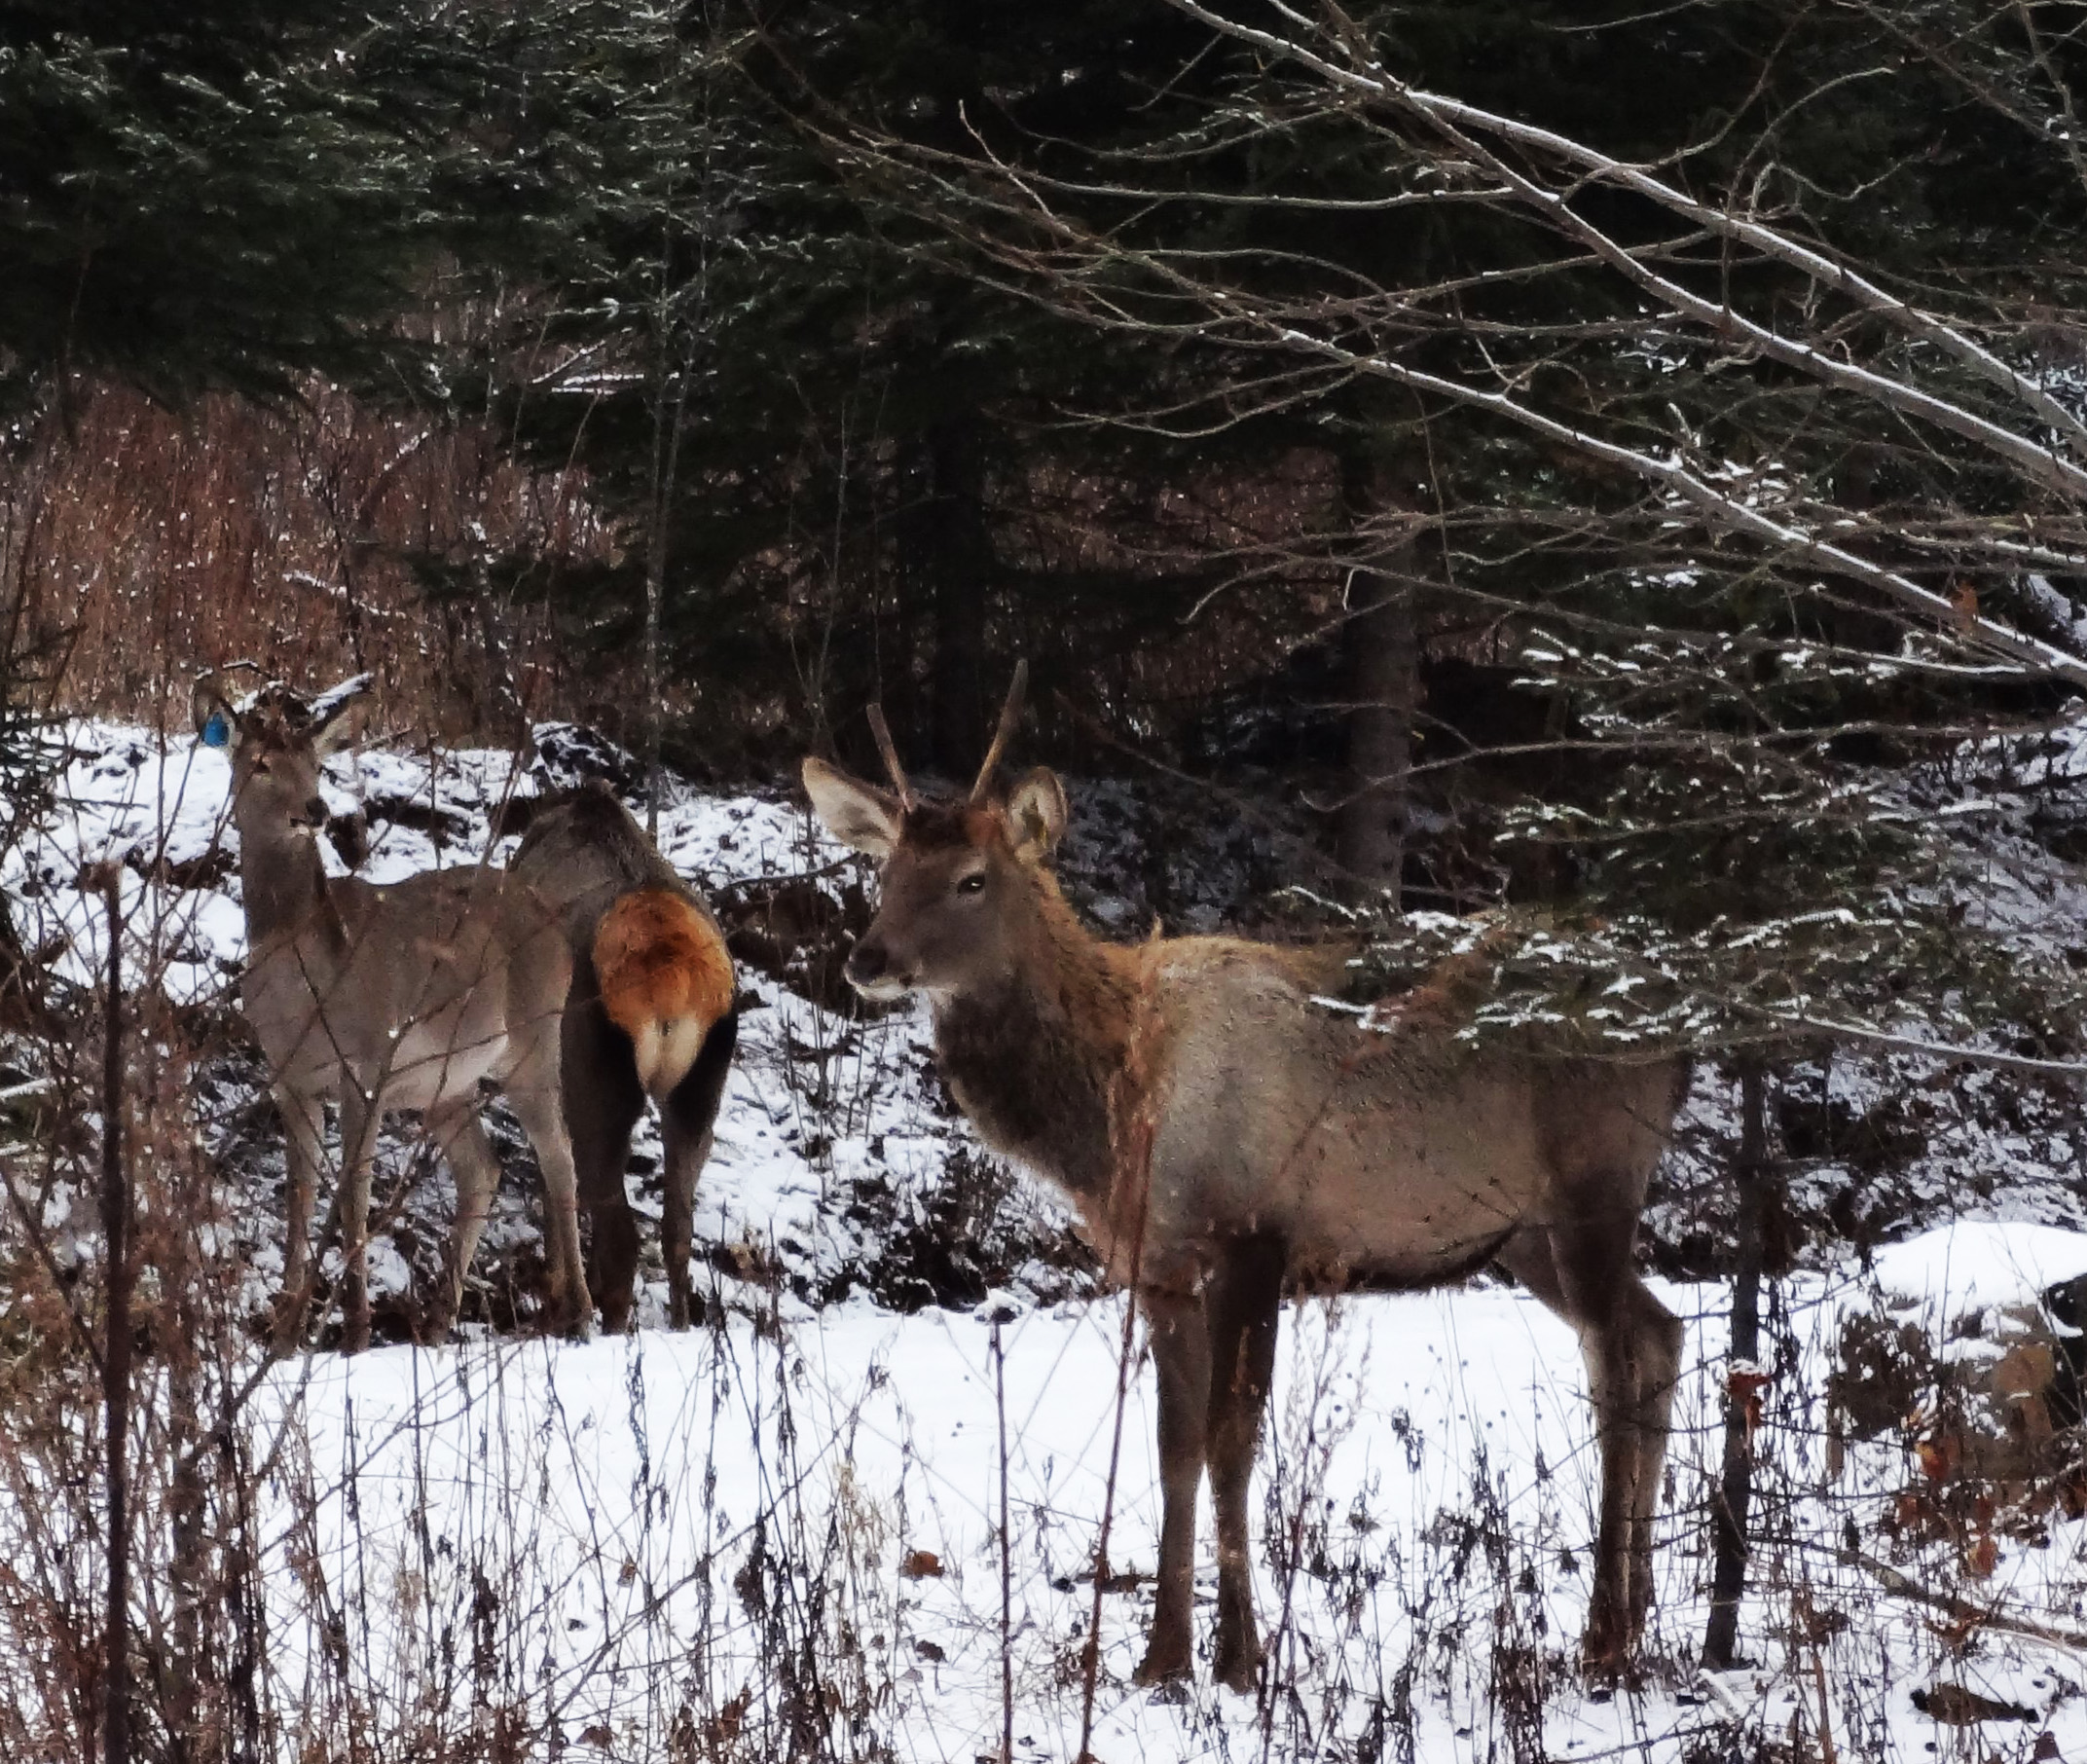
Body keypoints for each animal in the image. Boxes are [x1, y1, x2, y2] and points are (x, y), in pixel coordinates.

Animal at [195, 675, 591, 1352]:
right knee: (483, 1170)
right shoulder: (287, 1076)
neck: (305, 978)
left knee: (558, 1158)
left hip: (536, 1037)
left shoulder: (366, 1061)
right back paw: (436, 1323)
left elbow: (354, 1195)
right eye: (261, 763)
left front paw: (352, 1332)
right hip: (446, 1083)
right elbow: (299, 1196)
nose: (316, 810)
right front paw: (284, 1333)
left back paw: (584, 1315)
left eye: (318, 763)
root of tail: (551, 916)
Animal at [507, 782, 738, 1331]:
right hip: (701, 1091)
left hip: (595, 1081)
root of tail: (671, 980)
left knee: (620, 1238)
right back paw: (679, 1323)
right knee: (678, 1231)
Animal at [802, 667, 1689, 1689]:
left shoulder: (1257, 1228)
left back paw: (1605, 1636)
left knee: (1615, 1369)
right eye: (885, 874)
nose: (867, 959)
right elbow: (1174, 1444)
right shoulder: (1155, 1259)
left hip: (1596, 1184)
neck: (1120, 1108)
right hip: (1527, 1232)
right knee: (1657, 1334)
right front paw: (1161, 1659)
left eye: (971, 880)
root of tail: (1689, 1027)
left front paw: (1238, 1656)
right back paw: (1641, 1613)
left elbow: (1234, 1440)